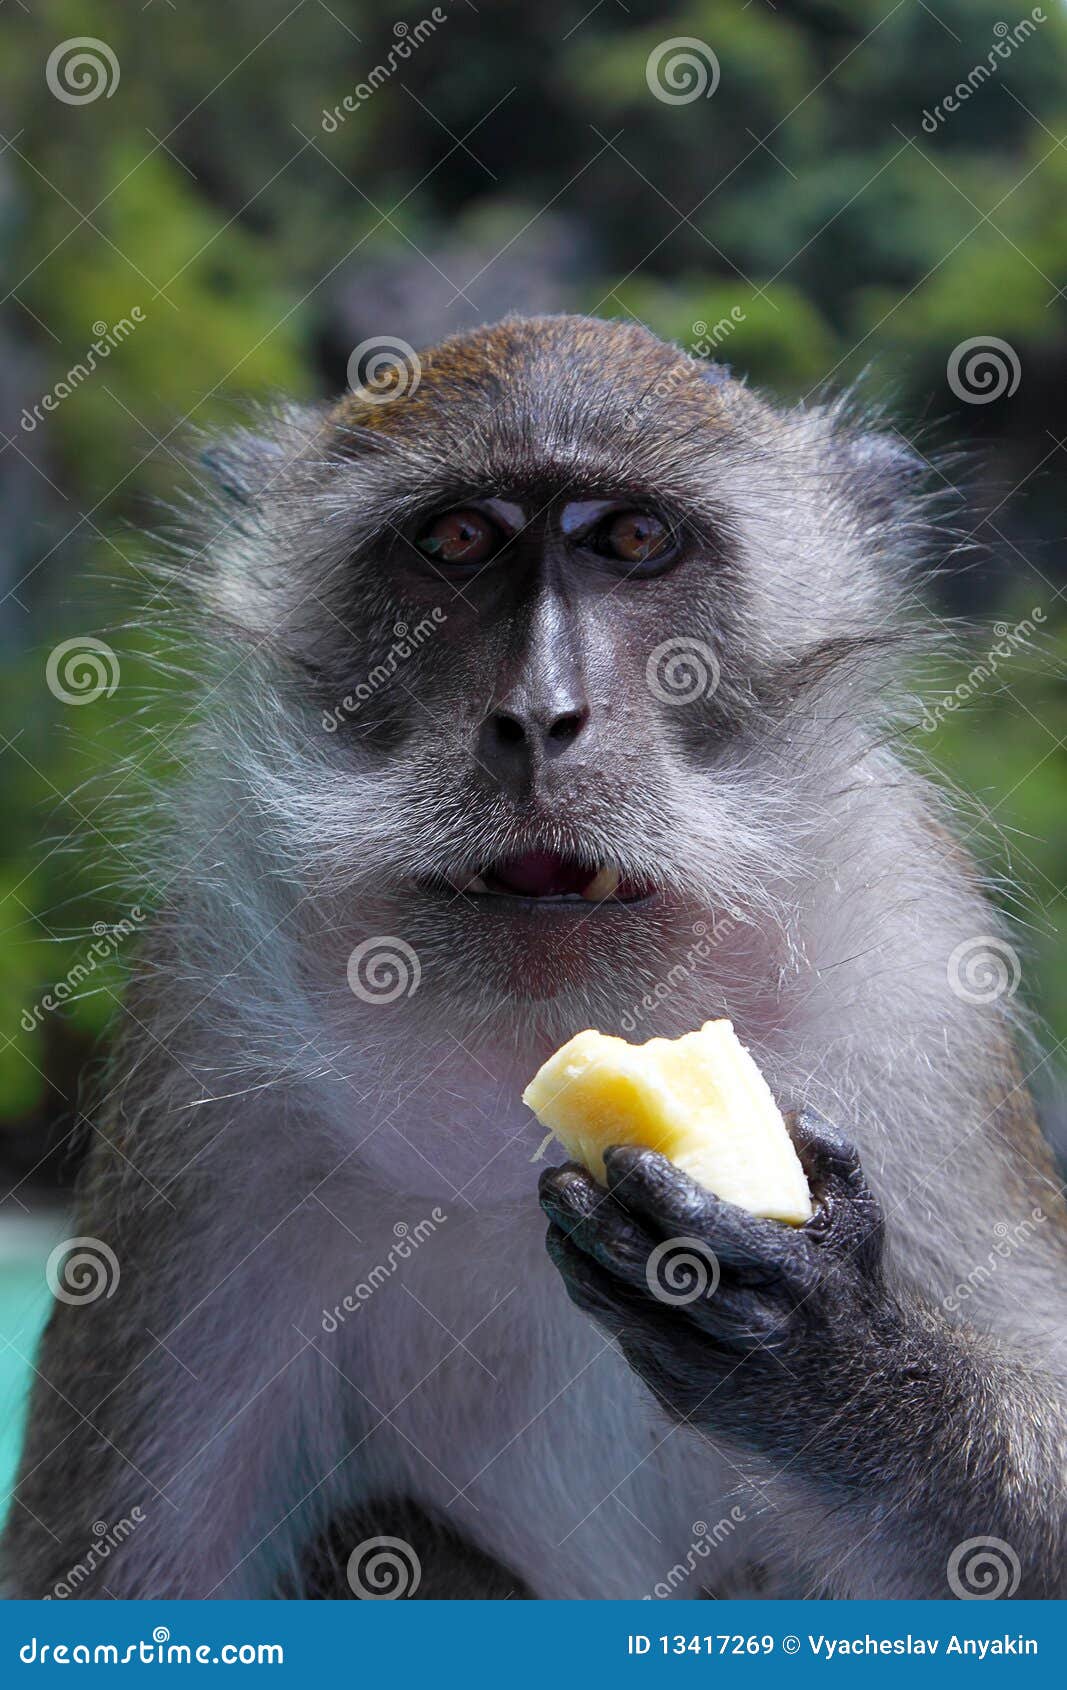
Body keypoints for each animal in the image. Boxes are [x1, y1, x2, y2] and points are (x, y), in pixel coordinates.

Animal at [3, 313, 1065, 1601]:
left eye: (632, 540)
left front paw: (834, 1360)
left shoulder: (921, 962)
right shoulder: (199, 1024)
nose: (538, 716)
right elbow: (107, 1574)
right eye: (458, 539)